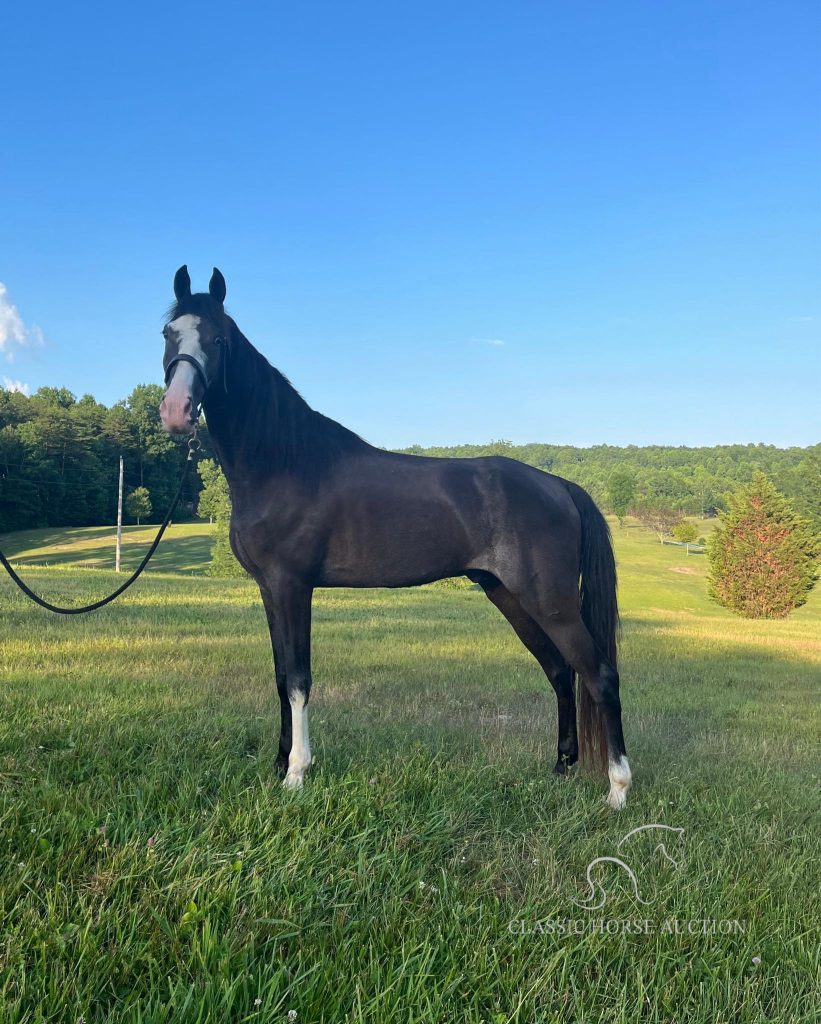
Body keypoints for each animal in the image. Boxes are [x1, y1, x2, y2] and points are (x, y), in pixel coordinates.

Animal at [159, 266, 631, 809]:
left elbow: (298, 679)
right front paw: (278, 763)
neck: (285, 463)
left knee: (599, 676)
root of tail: (559, 485)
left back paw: (618, 791)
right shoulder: (269, 591)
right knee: (560, 672)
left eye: (218, 338)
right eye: (167, 334)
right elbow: (280, 677)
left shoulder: (292, 586)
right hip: (510, 596)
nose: (176, 410)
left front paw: (296, 772)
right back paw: (561, 767)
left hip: (551, 603)